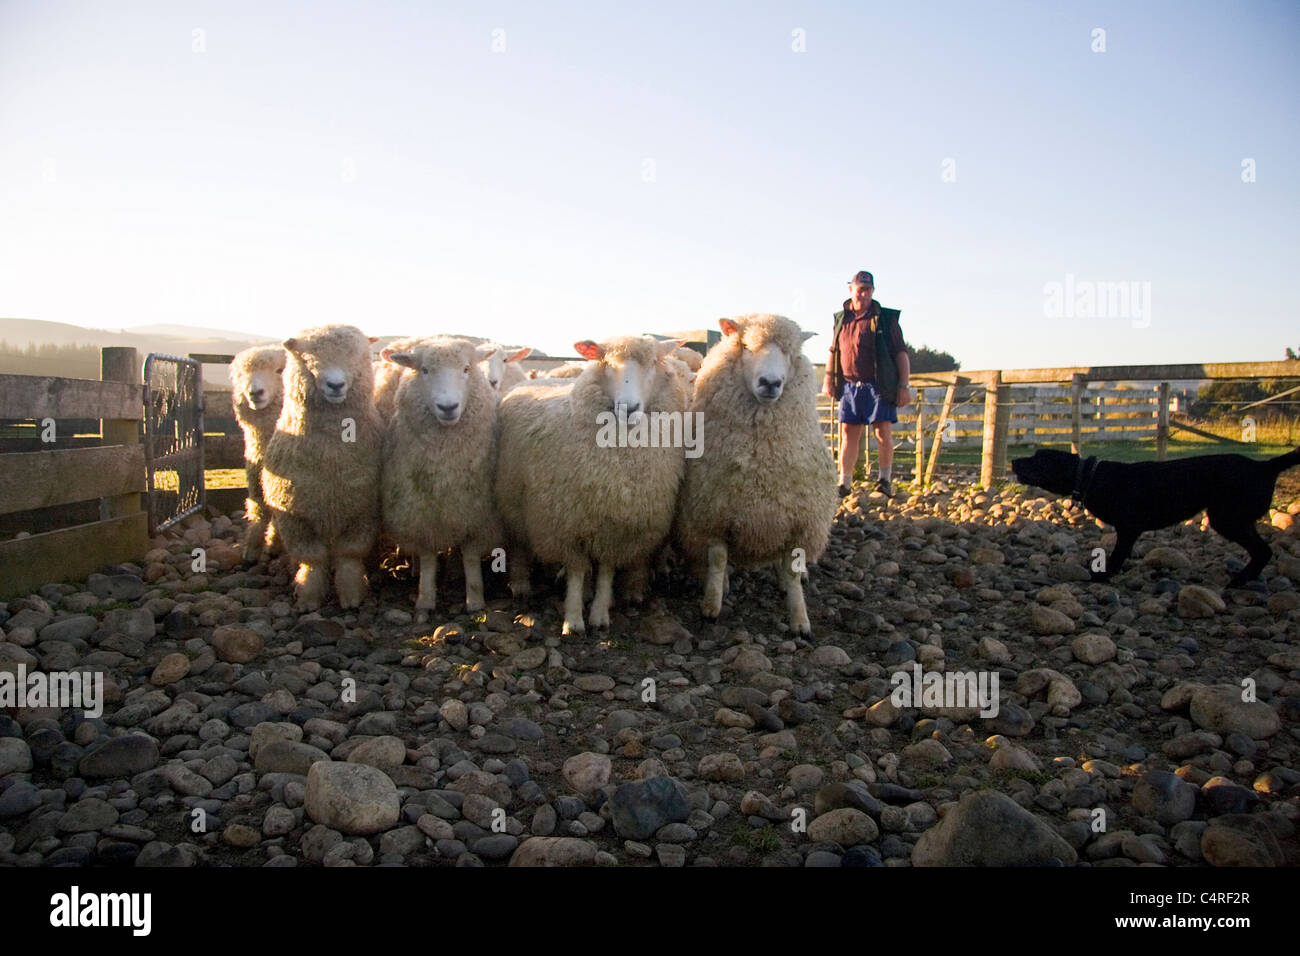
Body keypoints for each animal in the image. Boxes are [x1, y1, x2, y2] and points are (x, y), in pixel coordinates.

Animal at [229, 345, 285, 562]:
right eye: (241, 375)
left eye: (279, 370)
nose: (255, 392)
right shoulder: (256, 477)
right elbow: (259, 509)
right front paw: (253, 549)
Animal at [262, 324, 383, 611]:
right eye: (307, 359)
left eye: (357, 355)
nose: (335, 384)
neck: (331, 456)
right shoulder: (293, 516)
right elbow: (313, 559)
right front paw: (308, 595)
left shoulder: (363, 512)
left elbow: (349, 555)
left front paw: (352, 594)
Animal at [381, 337, 501, 619]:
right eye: (424, 370)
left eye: (467, 369)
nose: (448, 407)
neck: (446, 464)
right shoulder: (421, 514)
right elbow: (427, 558)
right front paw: (425, 598)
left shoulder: (478, 514)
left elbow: (470, 557)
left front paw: (475, 600)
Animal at [495, 335, 688, 635]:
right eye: (606, 363)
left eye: (654, 362)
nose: (628, 408)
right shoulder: (567, 521)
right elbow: (576, 569)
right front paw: (573, 619)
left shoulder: (616, 527)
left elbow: (606, 570)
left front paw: (599, 612)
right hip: (512, 498)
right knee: (518, 544)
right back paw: (521, 585)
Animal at [674, 314, 837, 637]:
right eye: (747, 347)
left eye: (789, 352)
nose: (771, 382)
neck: (762, 459)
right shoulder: (713, 514)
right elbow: (718, 559)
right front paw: (711, 605)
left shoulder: (798, 523)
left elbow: (791, 571)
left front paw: (800, 619)